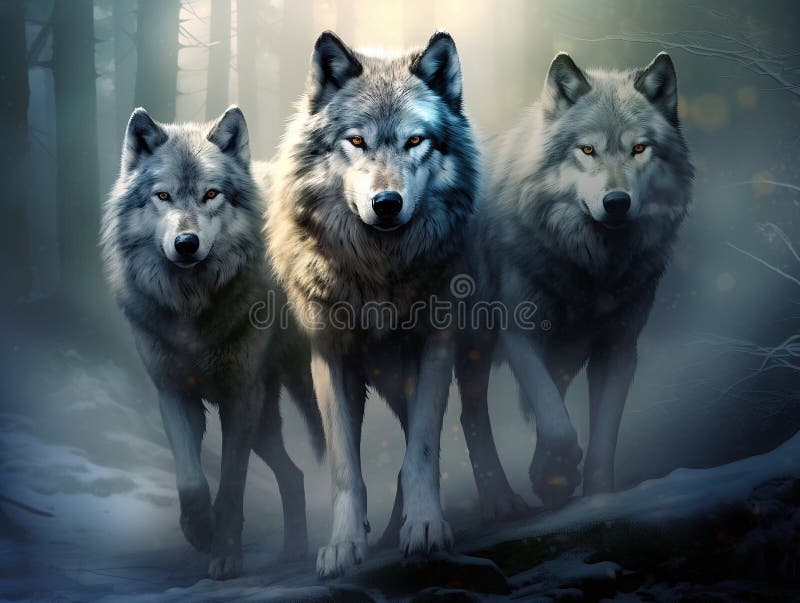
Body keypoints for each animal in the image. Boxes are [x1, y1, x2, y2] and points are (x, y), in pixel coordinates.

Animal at [100, 106, 324, 580]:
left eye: (211, 195)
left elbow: (231, 484)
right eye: (163, 196)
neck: (192, 314)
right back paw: (294, 549)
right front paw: (199, 531)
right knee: (294, 475)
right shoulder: (173, 395)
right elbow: (191, 480)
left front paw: (225, 552)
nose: (186, 243)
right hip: (265, 424)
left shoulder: (240, 396)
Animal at [266, 31, 479, 578]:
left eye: (415, 141)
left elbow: (420, 450)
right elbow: (346, 467)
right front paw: (344, 544)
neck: (380, 278)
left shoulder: (435, 349)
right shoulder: (330, 360)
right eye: (357, 141)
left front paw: (425, 527)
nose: (387, 204)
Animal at [457, 53, 693, 515]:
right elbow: (557, 425)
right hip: (474, 342)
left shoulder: (617, 348)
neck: (592, 267)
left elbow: (600, 436)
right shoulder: (518, 333)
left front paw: (592, 492)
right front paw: (556, 472)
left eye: (639, 148)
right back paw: (499, 499)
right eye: (587, 150)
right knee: (470, 416)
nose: (616, 202)